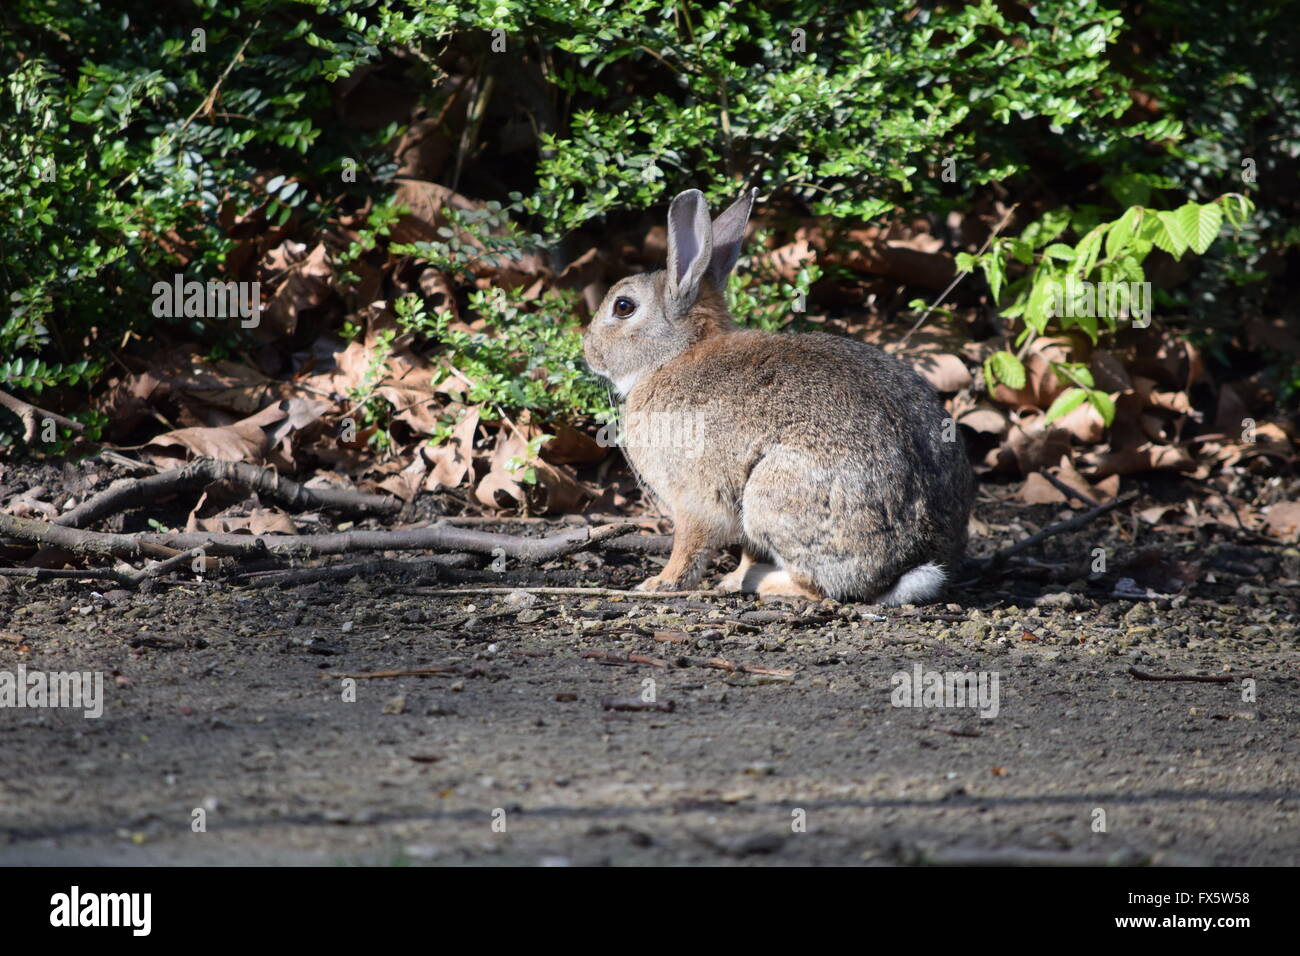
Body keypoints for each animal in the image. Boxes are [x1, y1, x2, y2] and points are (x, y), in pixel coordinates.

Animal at [584, 187, 974, 605]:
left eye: (623, 307)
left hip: (773, 495)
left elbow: (689, 544)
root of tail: (908, 564)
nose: (586, 349)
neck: (672, 356)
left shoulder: (693, 496)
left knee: (819, 587)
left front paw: (659, 583)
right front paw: (729, 574)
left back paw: (762, 582)